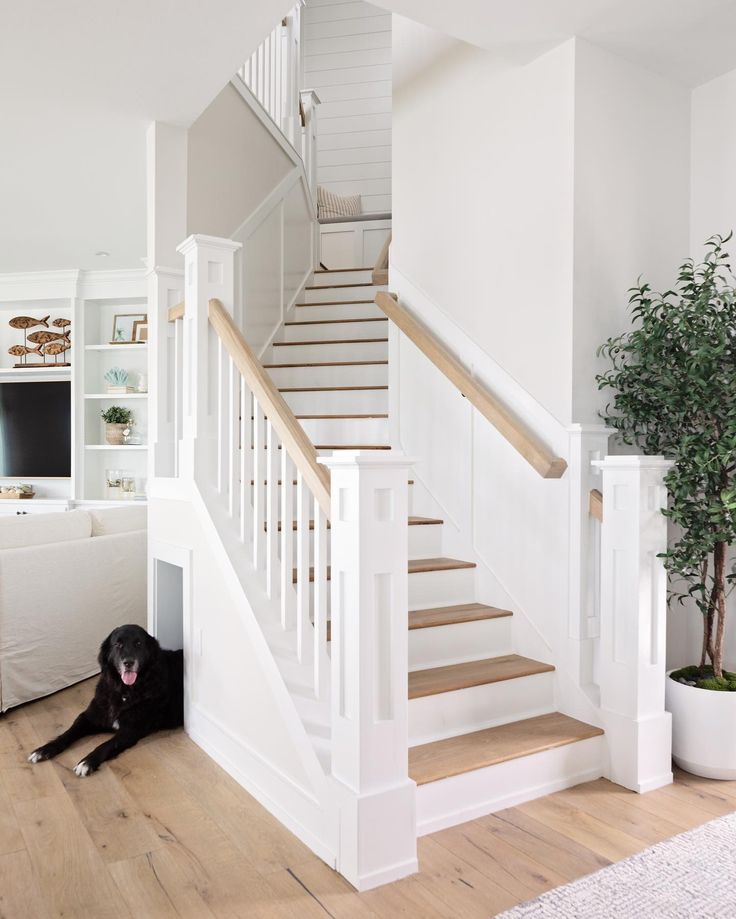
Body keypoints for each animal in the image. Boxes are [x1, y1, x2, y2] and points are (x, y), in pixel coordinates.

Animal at [29, 624, 183, 776]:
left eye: (138, 643)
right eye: (118, 644)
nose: (128, 662)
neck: (124, 691)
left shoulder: (131, 729)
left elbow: (106, 745)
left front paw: (87, 762)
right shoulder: (89, 716)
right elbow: (69, 732)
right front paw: (44, 749)